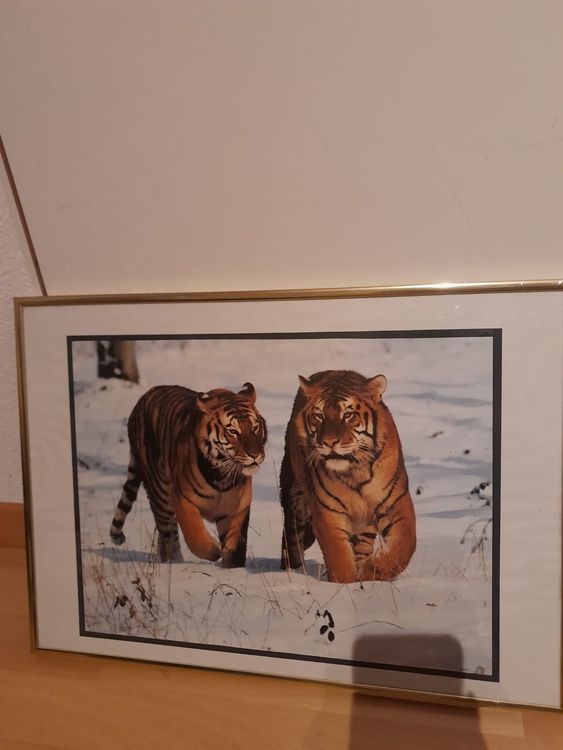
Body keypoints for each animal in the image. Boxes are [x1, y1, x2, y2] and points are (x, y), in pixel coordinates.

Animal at [110, 382, 267, 566]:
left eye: (255, 427)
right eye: (233, 431)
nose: (255, 454)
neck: (222, 476)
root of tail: (144, 397)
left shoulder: (236, 509)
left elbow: (235, 547)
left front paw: (233, 568)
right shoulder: (183, 499)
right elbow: (195, 536)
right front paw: (214, 550)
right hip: (160, 494)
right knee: (168, 534)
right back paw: (174, 563)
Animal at [280, 369, 416, 583]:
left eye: (348, 415)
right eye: (319, 416)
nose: (329, 442)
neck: (355, 471)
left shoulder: (396, 503)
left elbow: (404, 546)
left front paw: (371, 571)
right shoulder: (328, 510)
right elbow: (339, 557)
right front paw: (345, 583)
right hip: (294, 501)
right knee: (291, 543)